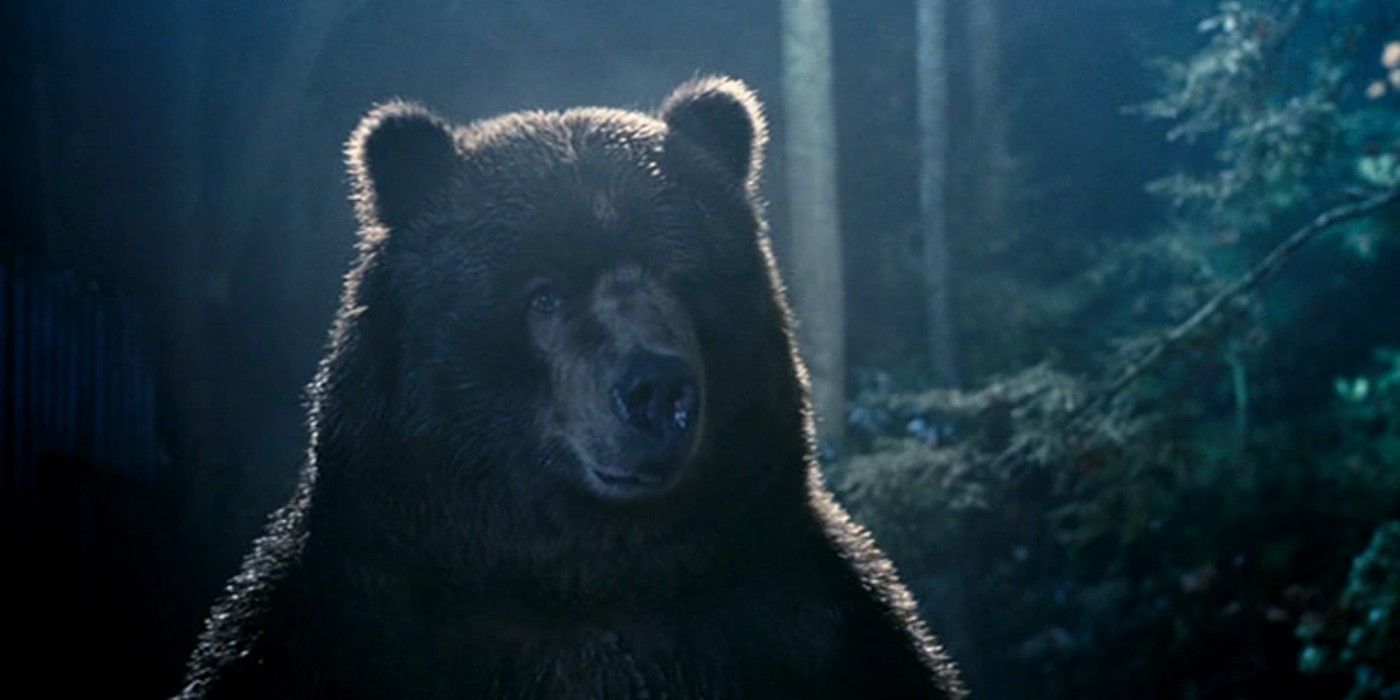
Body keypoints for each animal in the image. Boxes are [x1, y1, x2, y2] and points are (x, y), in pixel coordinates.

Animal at [176, 76, 964, 699]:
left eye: (683, 279)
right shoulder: (339, 620)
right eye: (543, 294)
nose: (656, 389)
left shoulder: (811, 625)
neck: (581, 581)